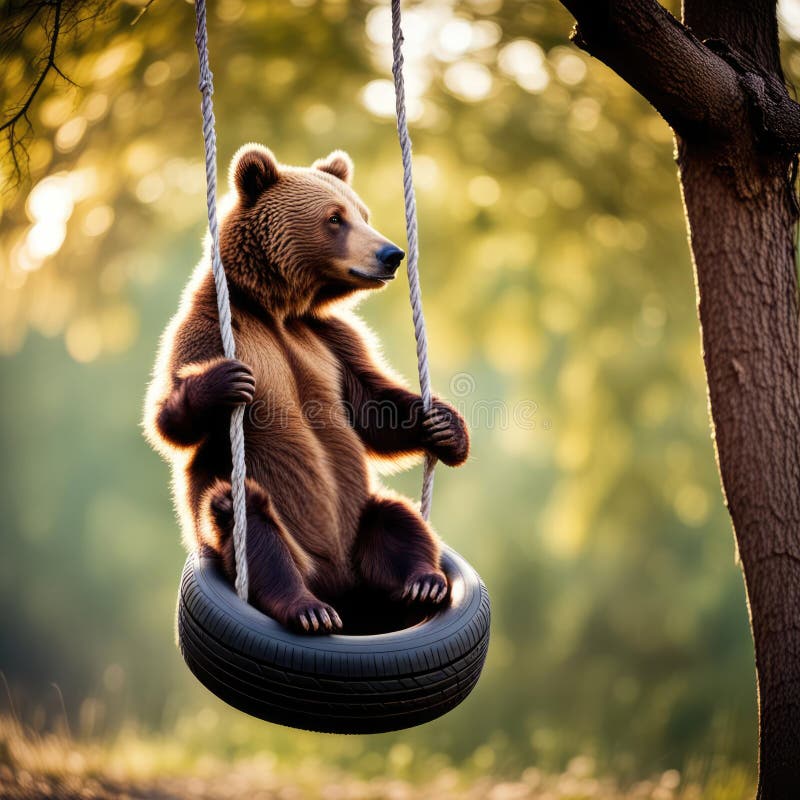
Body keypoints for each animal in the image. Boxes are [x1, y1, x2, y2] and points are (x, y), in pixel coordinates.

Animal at [143, 144, 469, 634]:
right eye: (335, 218)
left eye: (363, 213)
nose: (391, 254)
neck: (275, 309)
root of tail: (339, 587)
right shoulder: (209, 329)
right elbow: (167, 419)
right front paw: (223, 383)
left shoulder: (329, 340)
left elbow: (372, 408)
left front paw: (446, 427)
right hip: (266, 520)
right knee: (250, 526)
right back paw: (306, 608)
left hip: (358, 523)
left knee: (396, 517)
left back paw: (422, 582)